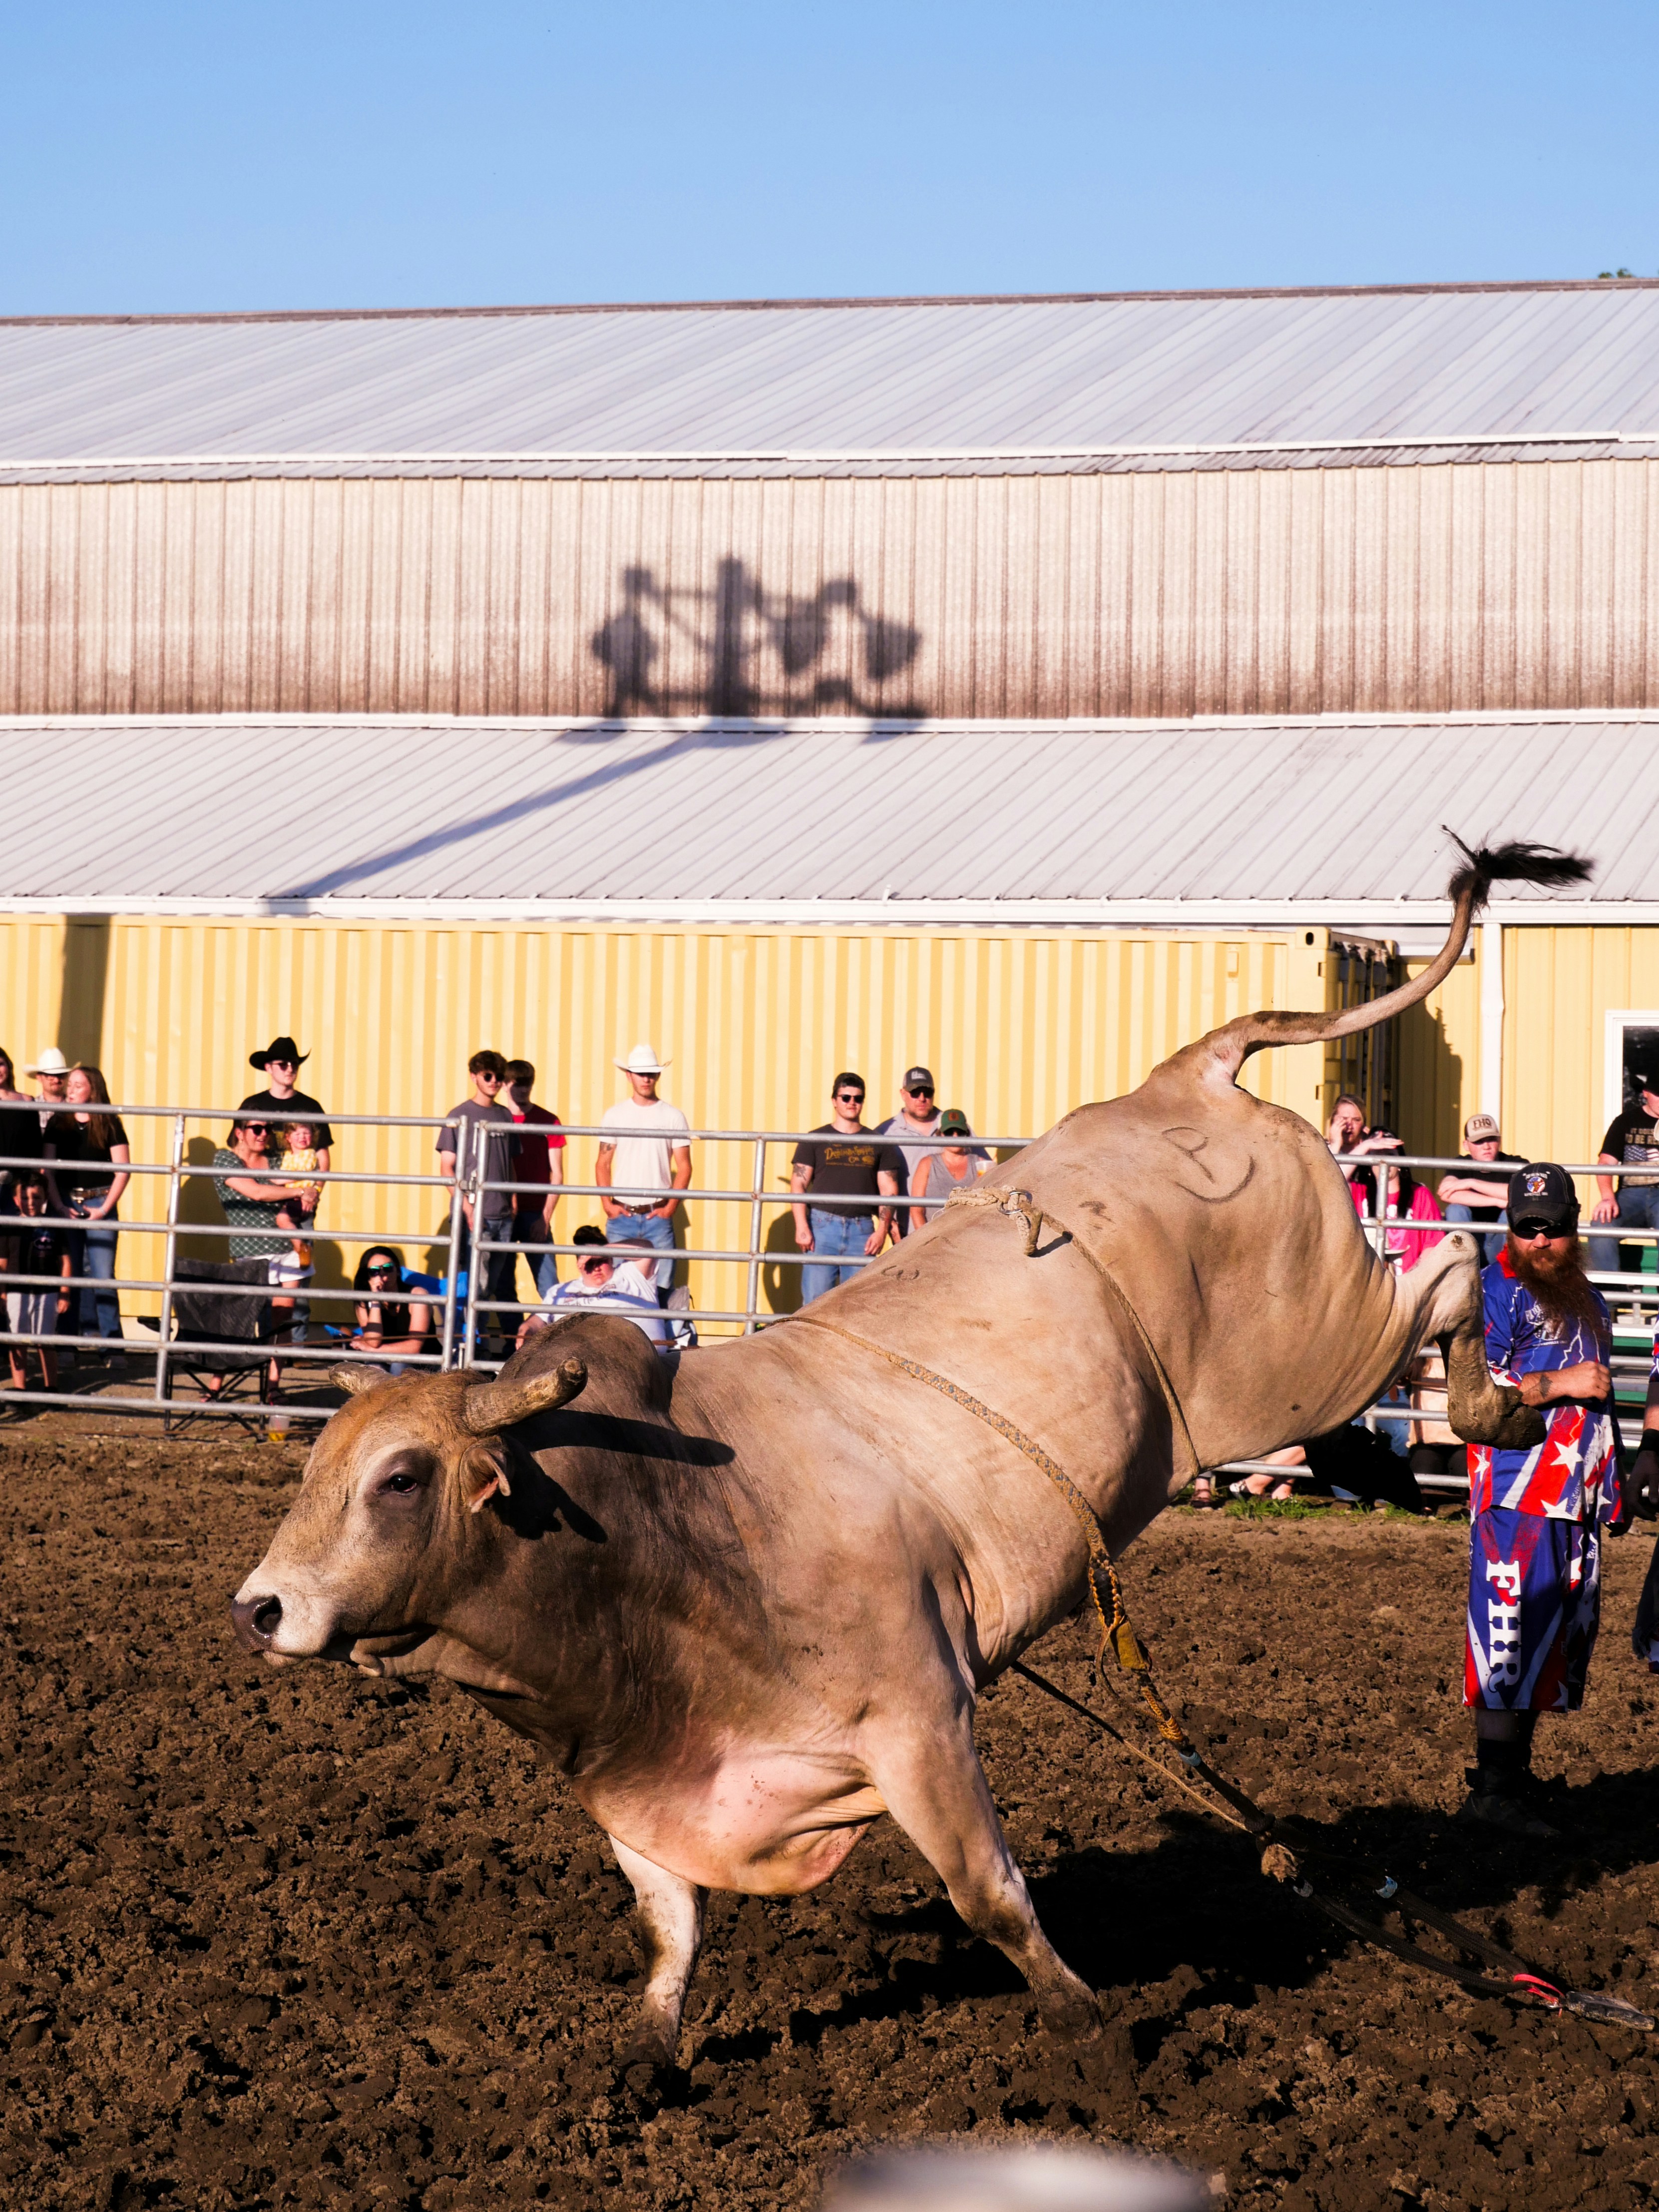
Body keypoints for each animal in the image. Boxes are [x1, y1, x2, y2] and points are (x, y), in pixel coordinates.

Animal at [231, 839, 1580, 2069]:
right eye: (317, 1477)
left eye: (401, 1479)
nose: (259, 1607)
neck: (673, 1533)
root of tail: (1177, 1079)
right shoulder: (650, 1786)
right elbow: (670, 1931)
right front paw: (647, 2057)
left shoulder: (922, 1719)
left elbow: (989, 1895)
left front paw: (1092, 2032)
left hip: (1312, 1346)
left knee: (1451, 1271)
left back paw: (1494, 1412)